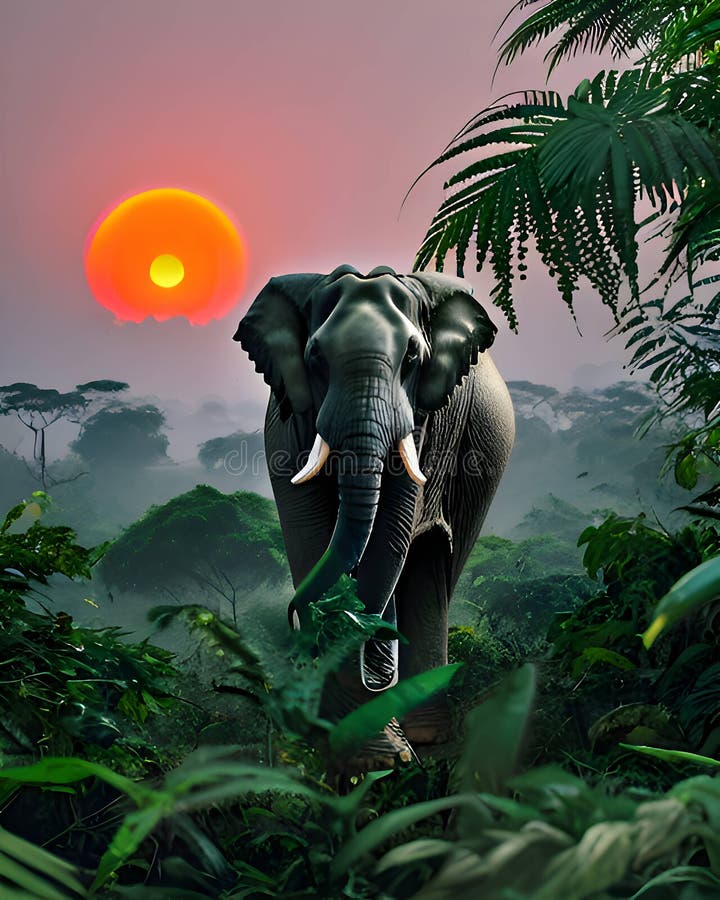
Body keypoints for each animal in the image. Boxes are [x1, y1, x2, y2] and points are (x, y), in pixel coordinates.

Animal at [234, 264, 514, 743]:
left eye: (413, 358)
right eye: (315, 357)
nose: (292, 617)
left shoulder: (424, 420)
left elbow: (392, 533)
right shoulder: (288, 422)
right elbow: (310, 535)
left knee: (434, 564)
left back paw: (424, 732)